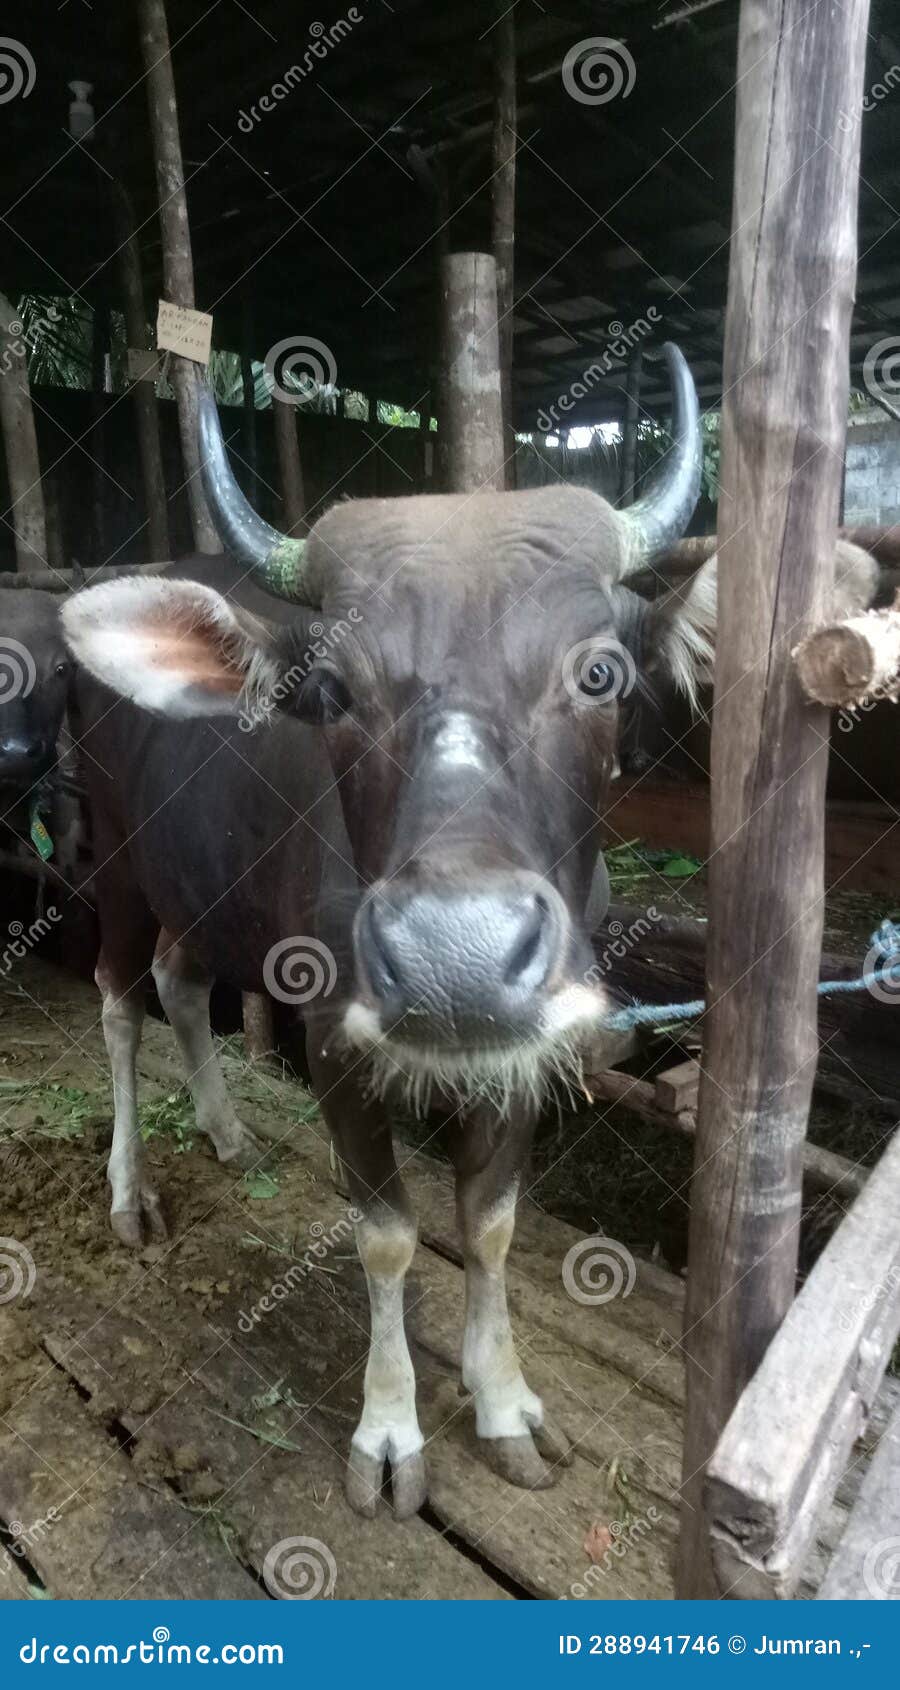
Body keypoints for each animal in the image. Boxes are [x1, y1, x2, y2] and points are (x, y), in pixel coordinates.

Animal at [59, 343, 869, 1518]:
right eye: (331, 688)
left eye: (600, 670)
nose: (460, 963)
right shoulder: (334, 1039)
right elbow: (391, 1233)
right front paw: (391, 1429)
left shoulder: (531, 1051)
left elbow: (489, 1220)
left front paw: (505, 1404)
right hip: (116, 861)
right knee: (121, 1001)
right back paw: (131, 1193)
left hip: (198, 887)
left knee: (179, 980)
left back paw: (225, 1129)